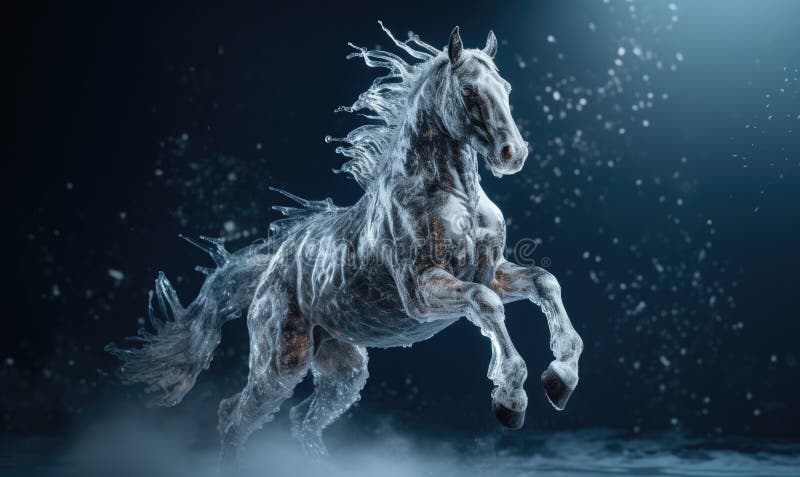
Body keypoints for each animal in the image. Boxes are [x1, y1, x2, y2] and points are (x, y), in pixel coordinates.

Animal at [107, 23, 584, 462]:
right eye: (468, 90)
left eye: (506, 88)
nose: (513, 154)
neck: (454, 194)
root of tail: (268, 272)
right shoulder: (422, 291)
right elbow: (486, 304)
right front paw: (511, 399)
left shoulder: (490, 270)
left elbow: (544, 282)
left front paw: (560, 378)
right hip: (281, 363)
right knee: (233, 416)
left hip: (343, 371)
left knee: (301, 422)